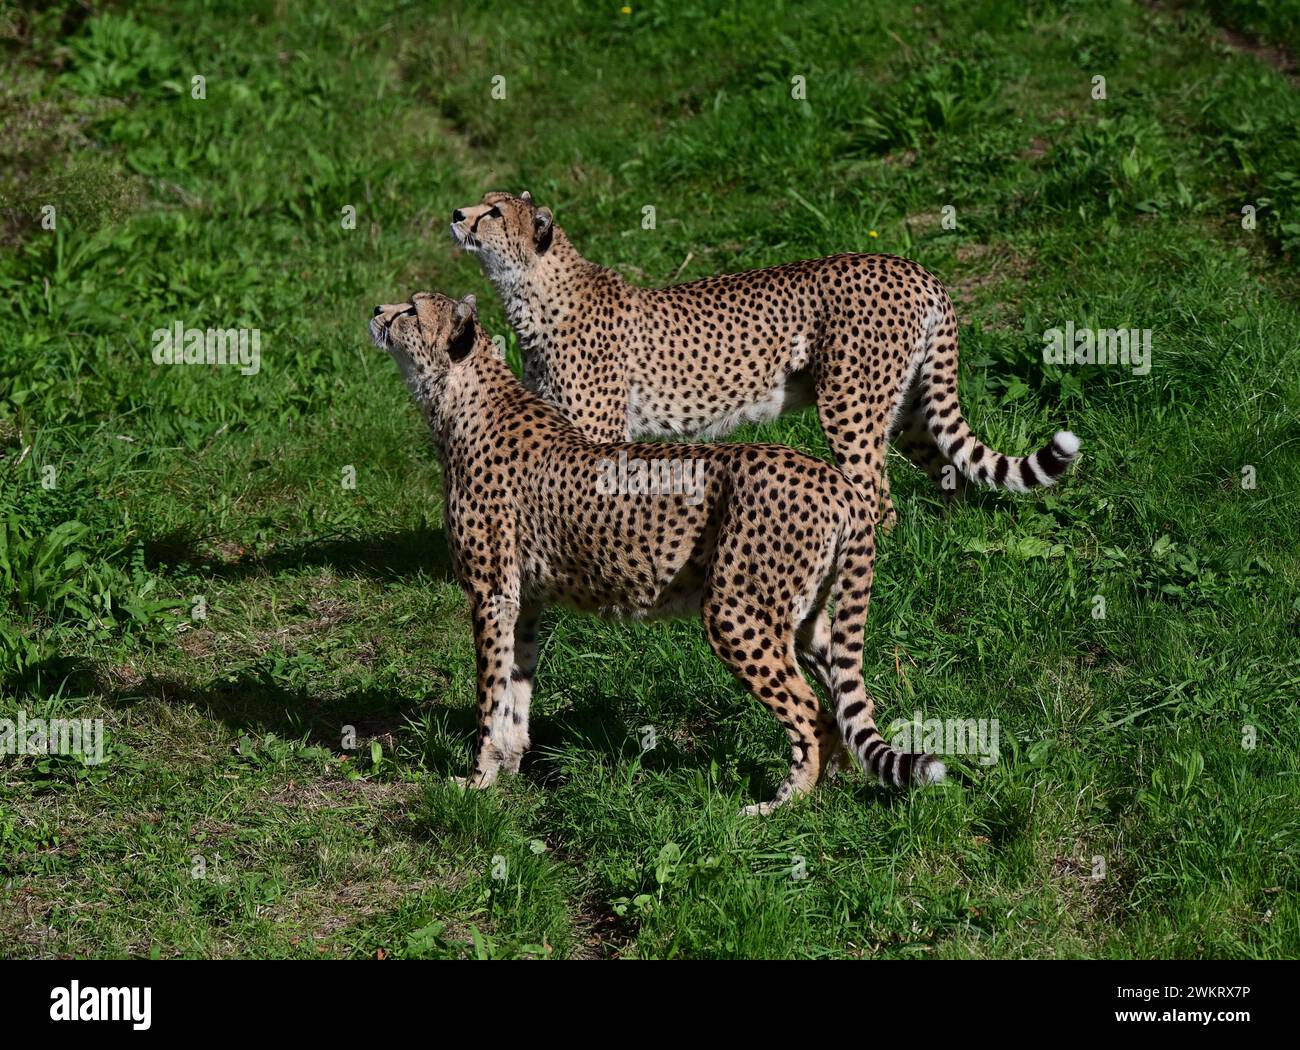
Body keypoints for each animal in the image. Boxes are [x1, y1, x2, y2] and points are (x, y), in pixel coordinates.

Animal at [369, 290, 945, 815]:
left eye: (412, 310)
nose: (377, 311)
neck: (462, 397)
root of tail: (834, 480)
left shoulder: (491, 596)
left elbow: (490, 694)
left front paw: (477, 781)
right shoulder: (524, 601)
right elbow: (516, 688)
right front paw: (507, 770)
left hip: (736, 612)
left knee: (814, 715)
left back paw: (782, 806)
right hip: (806, 617)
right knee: (844, 701)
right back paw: (834, 784)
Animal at [450, 190, 1081, 531]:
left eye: (493, 213)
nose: (457, 213)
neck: (530, 289)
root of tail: (914, 267)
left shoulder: (600, 434)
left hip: (848, 402)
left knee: (875, 493)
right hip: (904, 407)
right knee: (946, 469)